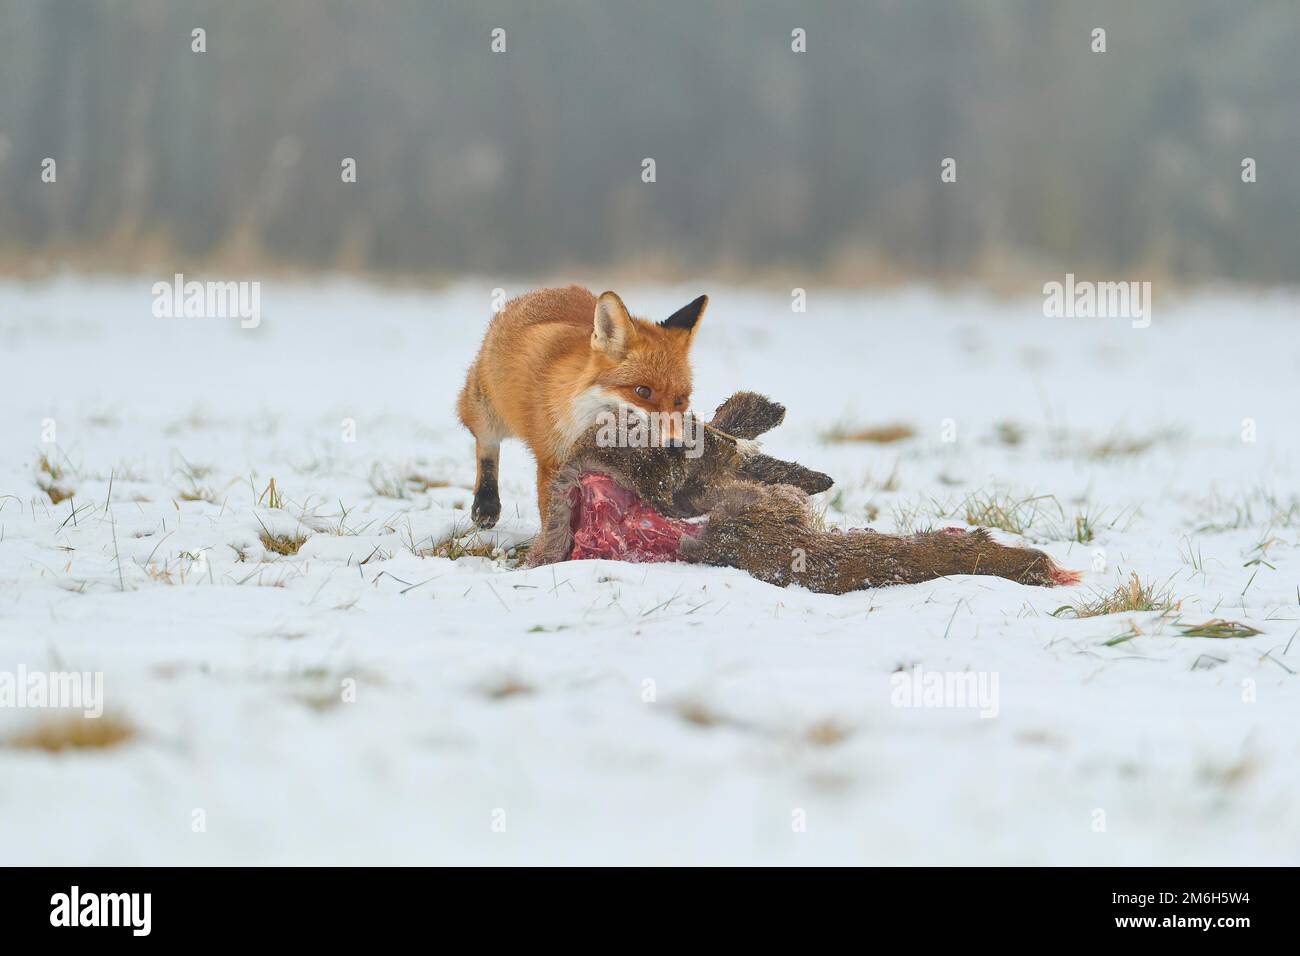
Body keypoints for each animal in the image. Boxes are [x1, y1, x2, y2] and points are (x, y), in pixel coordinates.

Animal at [456, 285, 708, 528]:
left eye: (680, 400)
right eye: (643, 391)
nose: (676, 445)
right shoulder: (552, 461)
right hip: (488, 413)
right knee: (486, 445)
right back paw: (486, 502)